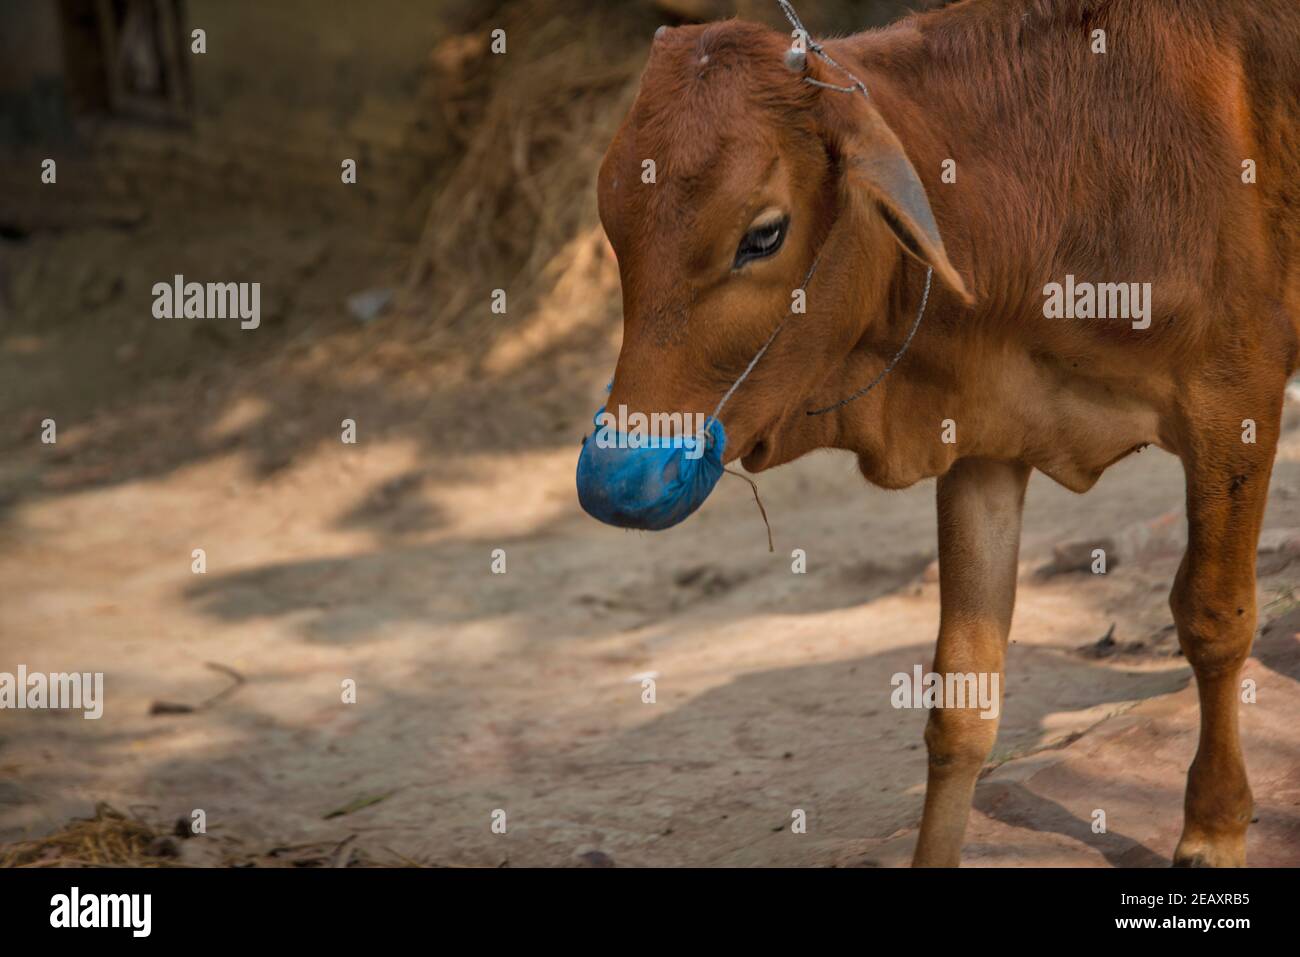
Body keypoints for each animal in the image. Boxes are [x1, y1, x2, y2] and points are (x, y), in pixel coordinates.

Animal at [576, 0, 1300, 866]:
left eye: (763, 234)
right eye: (614, 223)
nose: (614, 482)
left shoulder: (1235, 396)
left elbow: (1215, 618)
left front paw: (1214, 826)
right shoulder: (986, 440)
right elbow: (962, 695)